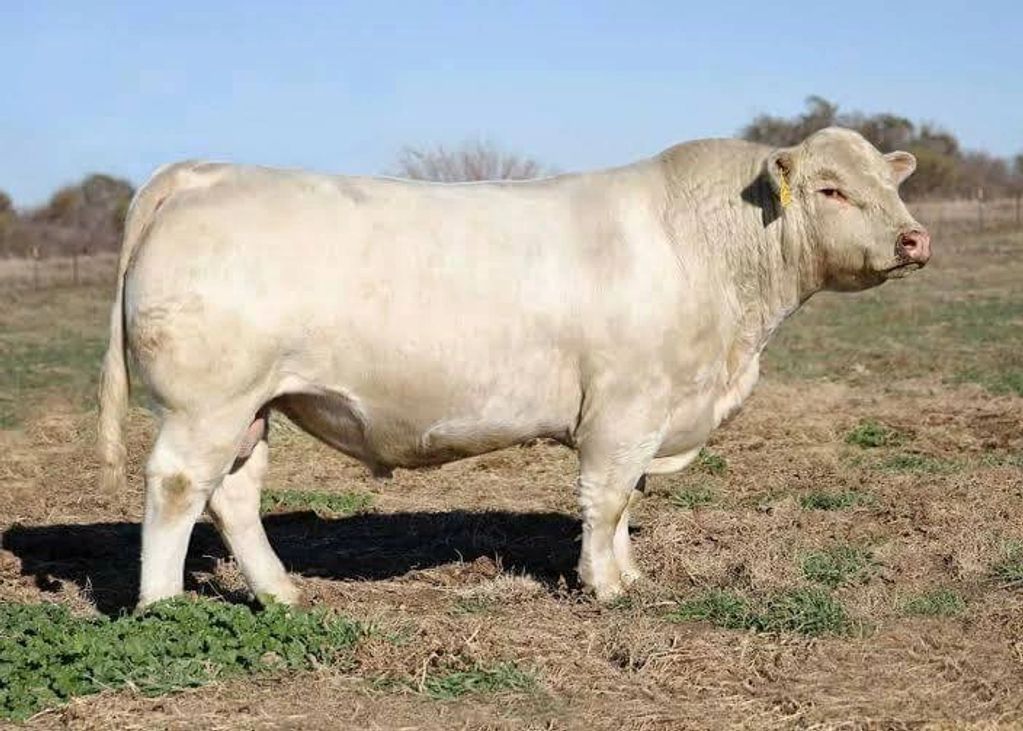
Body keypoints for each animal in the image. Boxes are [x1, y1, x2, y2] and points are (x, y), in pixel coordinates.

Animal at [96, 127, 930, 608]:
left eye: (891, 186)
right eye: (830, 189)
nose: (914, 239)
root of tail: (206, 172)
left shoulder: (649, 413)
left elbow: (624, 501)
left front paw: (628, 574)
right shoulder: (625, 405)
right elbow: (604, 497)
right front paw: (604, 588)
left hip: (252, 406)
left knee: (233, 495)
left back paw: (280, 593)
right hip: (207, 404)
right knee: (178, 486)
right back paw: (163, 607)